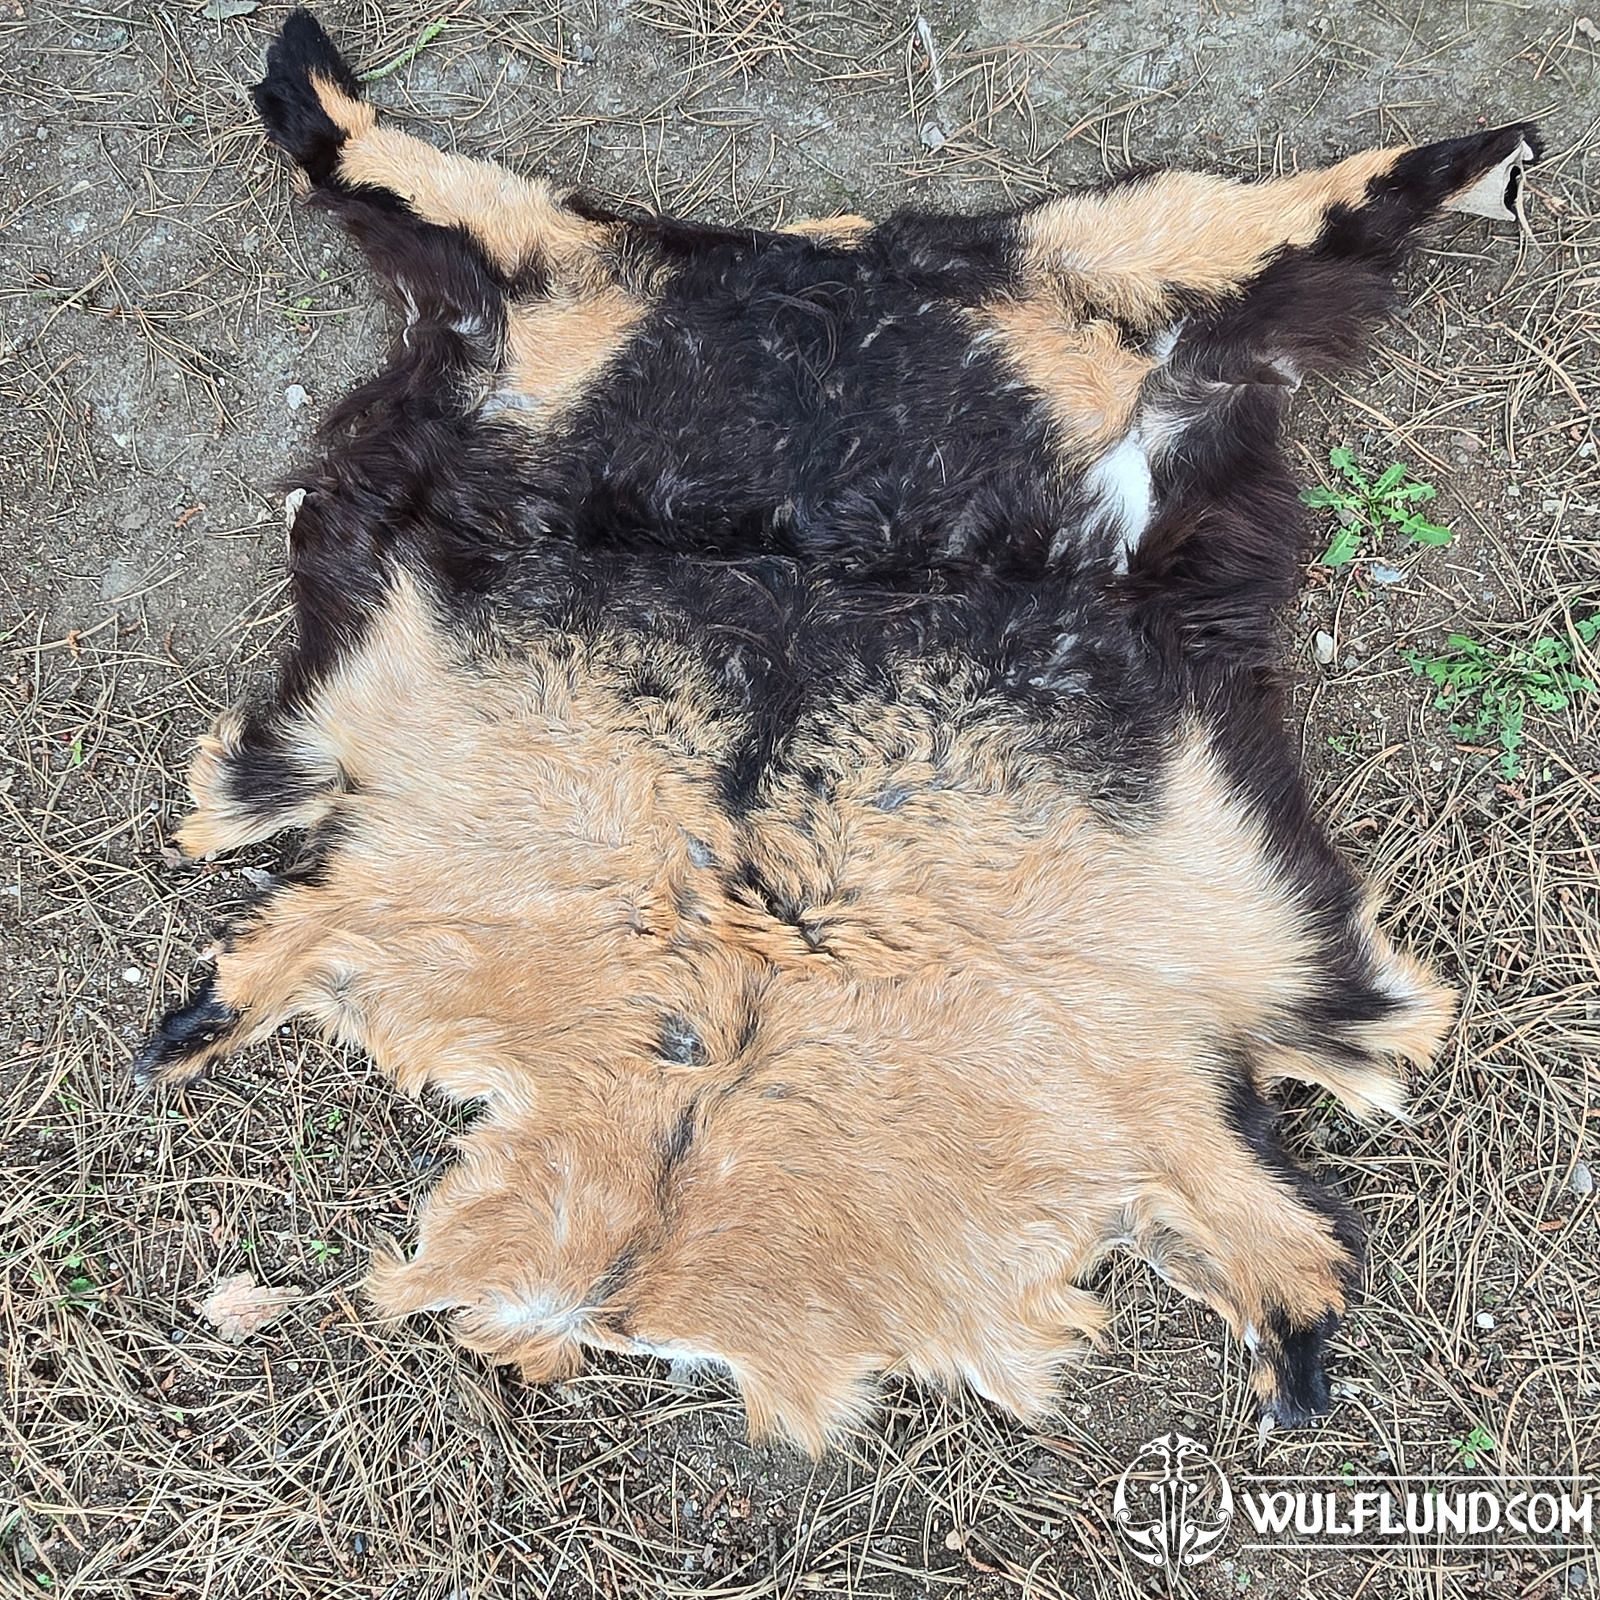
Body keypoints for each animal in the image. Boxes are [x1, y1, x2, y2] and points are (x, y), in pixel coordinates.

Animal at [137, 8, 1535, 1452]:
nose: (590, 1332)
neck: (738, 1000)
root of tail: (836, 251)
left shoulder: (1189, 1013)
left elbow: (1282, 1232)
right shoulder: (379, 799)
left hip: (1095, 267)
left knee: (1301, 215)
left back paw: (1487, 161)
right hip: (573, 309)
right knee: (450, 206)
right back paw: (308, 88)